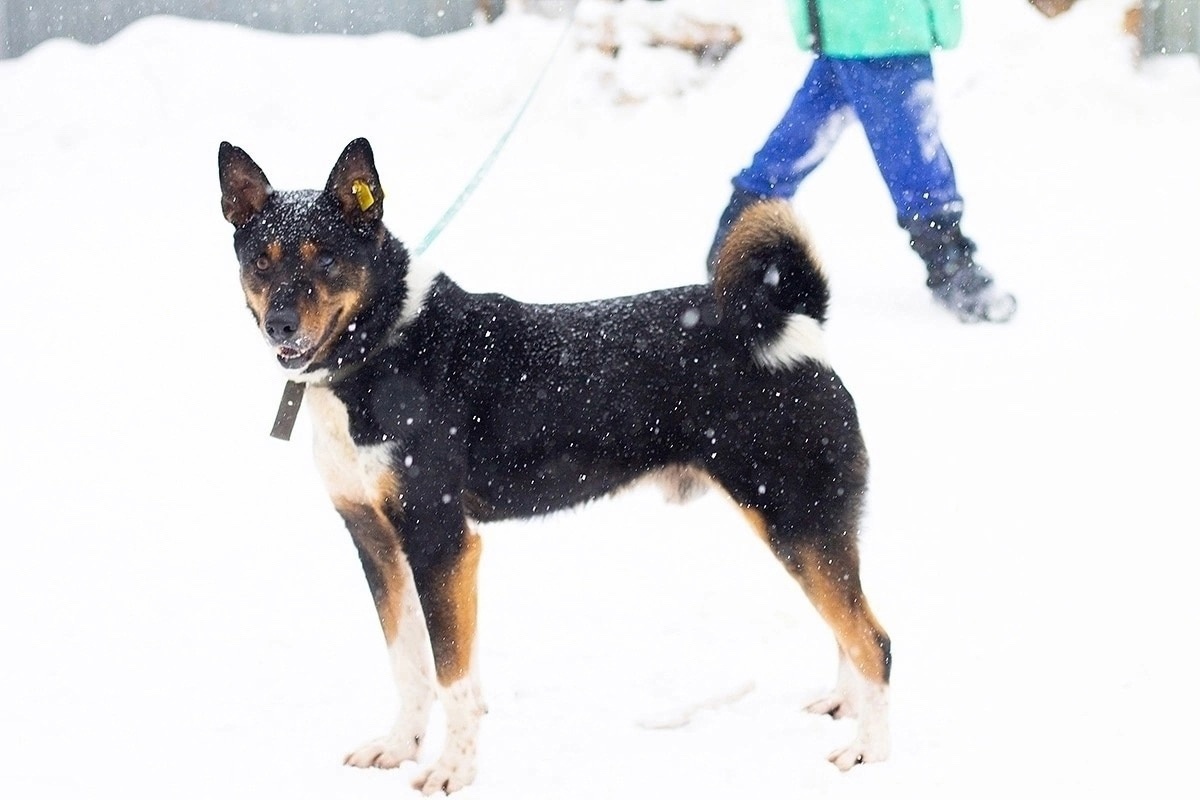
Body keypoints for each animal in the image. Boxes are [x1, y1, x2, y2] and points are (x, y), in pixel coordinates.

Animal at [218, 139, 892, 796]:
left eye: (327, 261)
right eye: (262, 263)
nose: (280, 324)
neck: (382, 348)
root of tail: (796, 327)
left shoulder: (442, 544)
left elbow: (452, 678)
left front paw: (451, 772)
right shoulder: (375, 540)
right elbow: (409, 667)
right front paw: (399, 748)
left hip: (795, 521)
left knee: (874, 641)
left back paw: (868, 753)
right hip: (812, 527)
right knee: (848, 627)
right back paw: (842, 705)